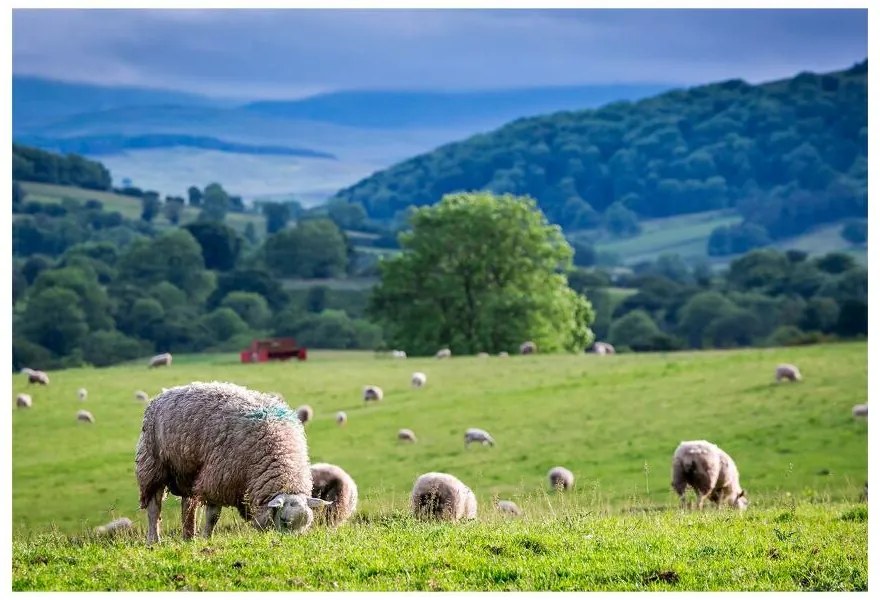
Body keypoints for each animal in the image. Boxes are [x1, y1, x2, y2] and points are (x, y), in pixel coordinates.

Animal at [134, 382, 330, 548]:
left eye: (306, 524)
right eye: (284, 520)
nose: (289, 545)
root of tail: (166, 392)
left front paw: (202, 538)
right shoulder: (218, 479)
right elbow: (213, 516)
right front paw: (207, 538)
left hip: (188, 474)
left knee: (188, 506)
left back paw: (188, 538)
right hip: (152, 464)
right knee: (154, 507)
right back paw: (154, 541)